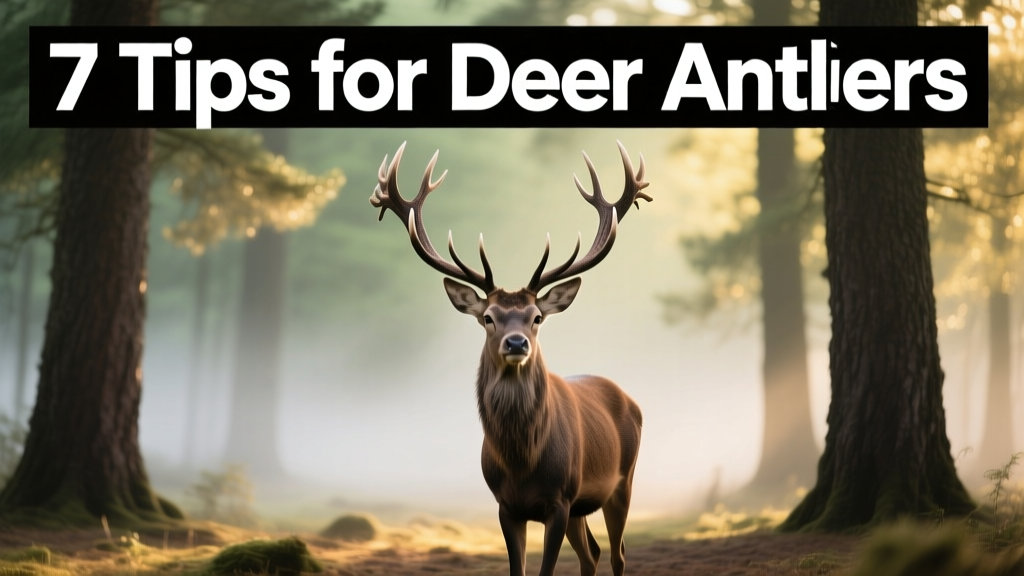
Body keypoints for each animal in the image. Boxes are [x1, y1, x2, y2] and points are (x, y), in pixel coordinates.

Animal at [369, 141, 650, 576]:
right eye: (488, 317)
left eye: (537, 317)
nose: (516, 344)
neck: (522, 464)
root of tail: (629, 399)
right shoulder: (506, 506)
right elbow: (518, 568)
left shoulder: (558, 499)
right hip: (581, 506)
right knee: (592, 553)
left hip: (622, 482)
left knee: (617, 553)